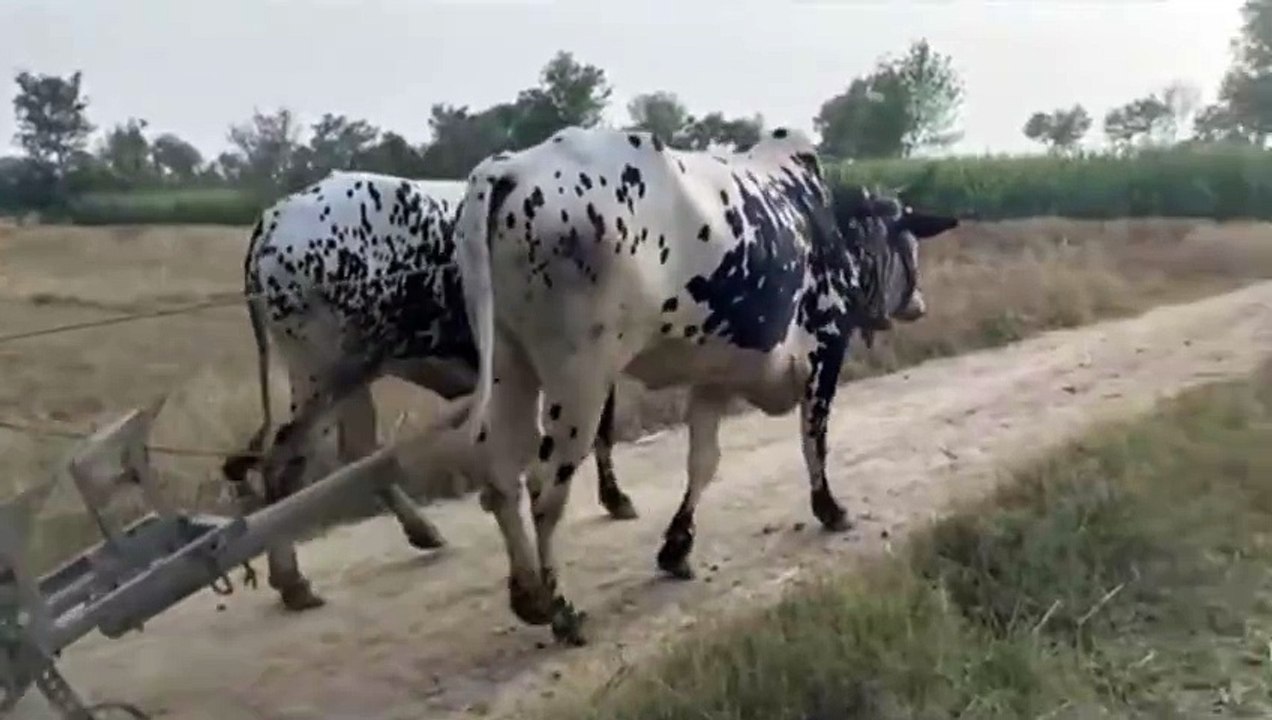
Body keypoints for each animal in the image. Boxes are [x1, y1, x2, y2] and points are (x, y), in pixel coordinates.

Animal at [221, 170, 639, 612]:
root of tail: (275, 216)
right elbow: (601, 432)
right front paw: (616, 499)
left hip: (351, 378)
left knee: (355, 453)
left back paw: (421, 532)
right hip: (322, 378)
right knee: (282, 465)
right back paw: (293, 580)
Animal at [450, 126, 959, 644]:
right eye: (906, 243)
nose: (918, 303)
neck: (826, 222)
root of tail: (510, 168)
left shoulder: (713, 378)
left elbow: (703, 464)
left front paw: (676, 547)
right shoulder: (825, 352)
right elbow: (813, 442)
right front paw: (830, 509)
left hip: (510, 365)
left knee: (501, 480)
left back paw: (528, 596)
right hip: (580, 378)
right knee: (544, 487)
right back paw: (560, 608)